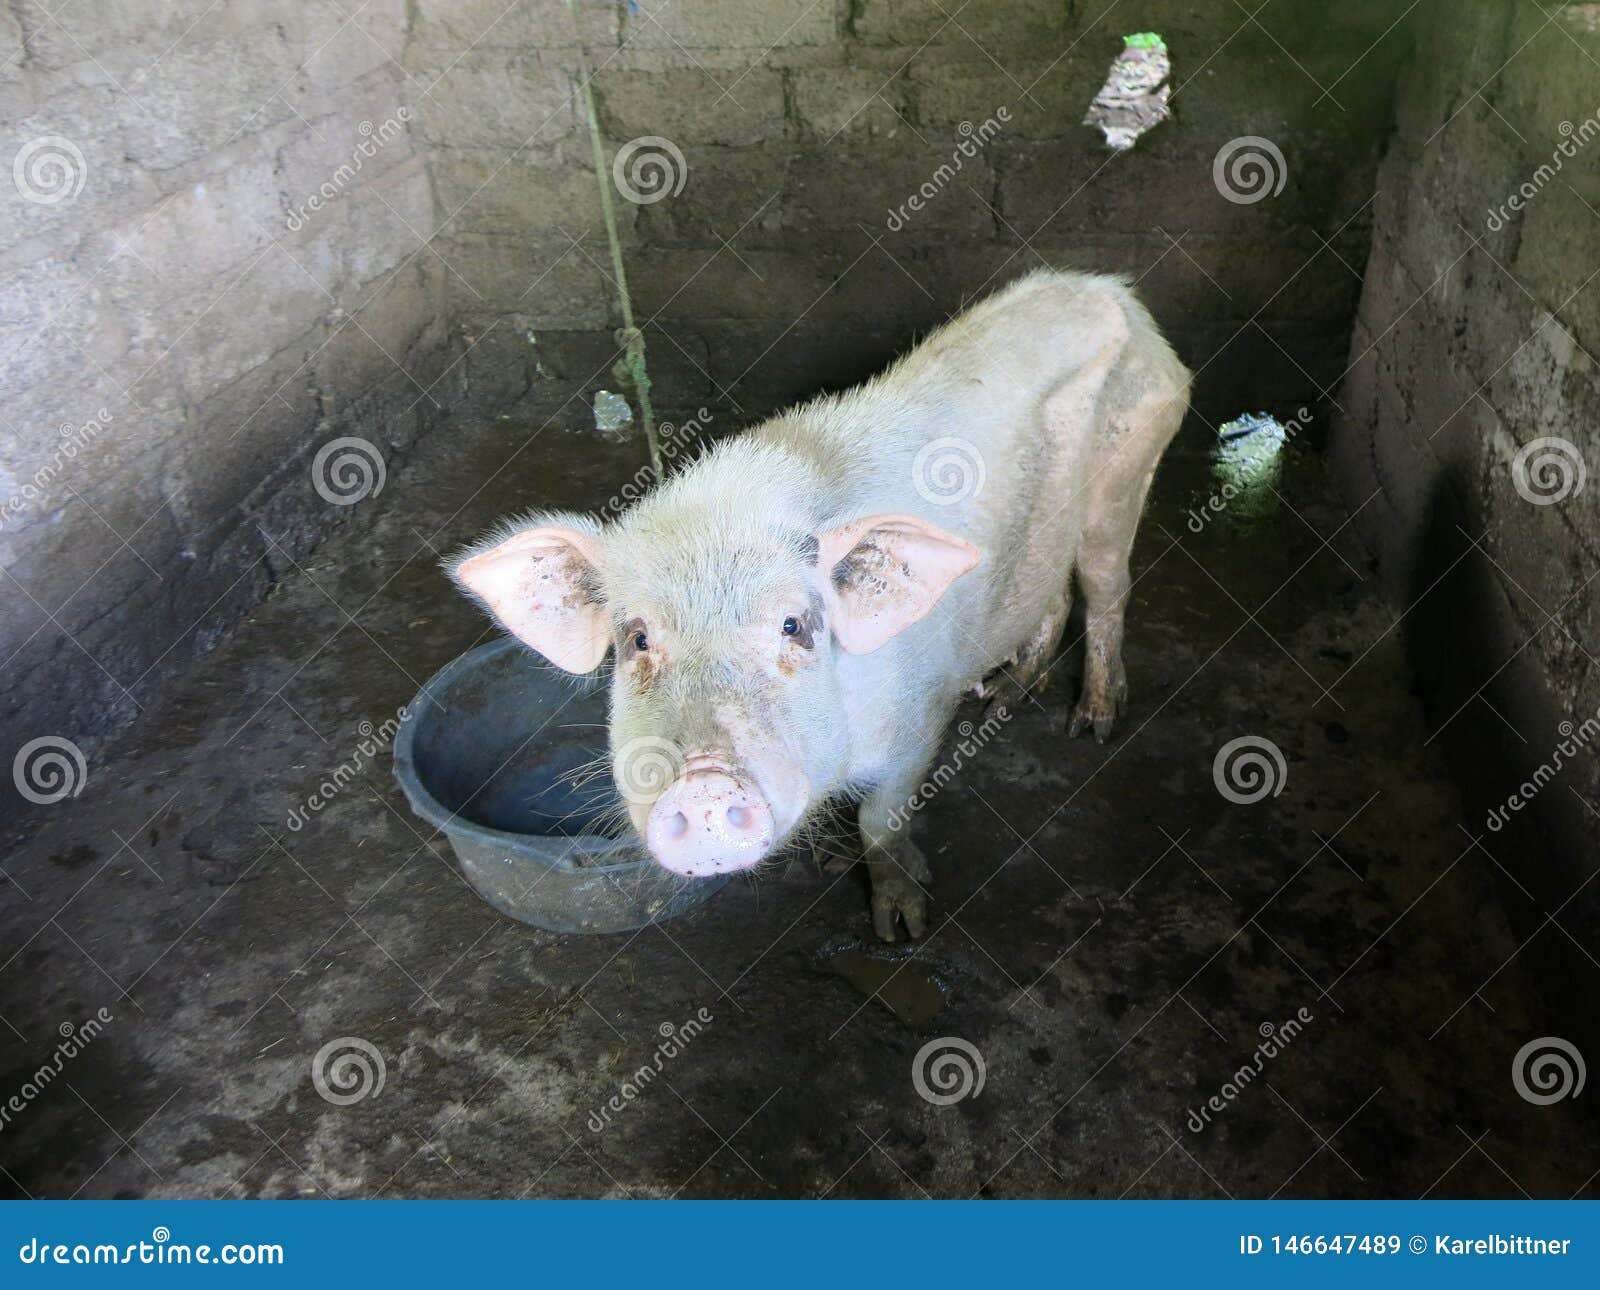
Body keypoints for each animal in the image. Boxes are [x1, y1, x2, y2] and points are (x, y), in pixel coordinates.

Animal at [448, 269, 1190, 940]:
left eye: (793, 626)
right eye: (637, 640)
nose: (705, 782)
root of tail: (1114, 293)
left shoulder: (919, 718)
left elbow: (880, 818)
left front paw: (902, 926)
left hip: (1129, 466)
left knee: (1106, 590)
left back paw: (1092, 723)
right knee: (1054, 592)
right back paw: (1003, 693)